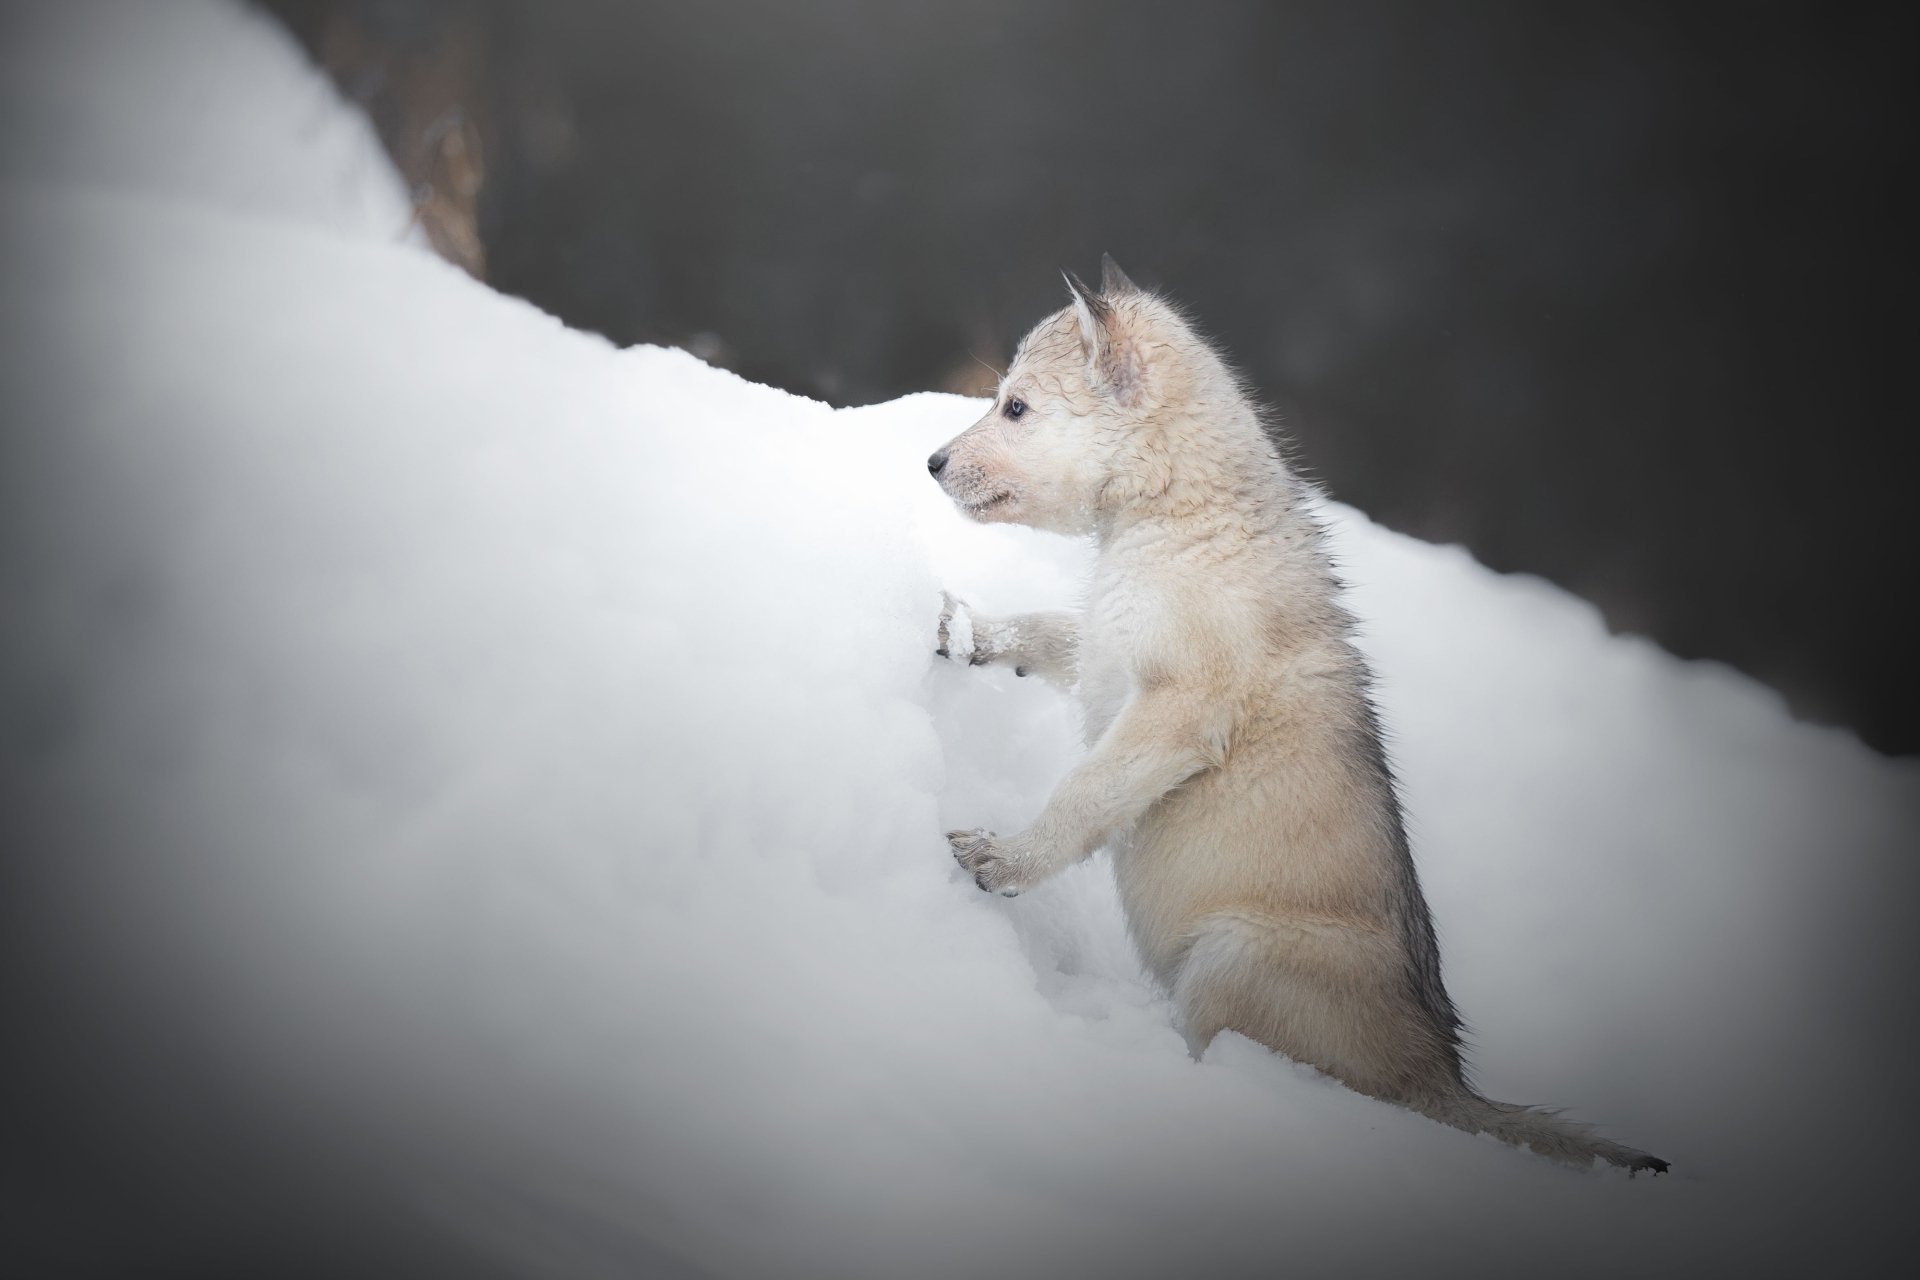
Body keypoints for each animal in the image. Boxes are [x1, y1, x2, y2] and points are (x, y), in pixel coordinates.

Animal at [927, 256, 1667, 1173]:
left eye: (1017, 407)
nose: (930, 462)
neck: (1180, 513)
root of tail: (1438, 1081)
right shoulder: (1103, 653)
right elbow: (1039, 629)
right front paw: (967, 632)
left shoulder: (1176, 710)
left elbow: (1083, 798)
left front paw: (1004, 860)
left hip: (1230, 960)